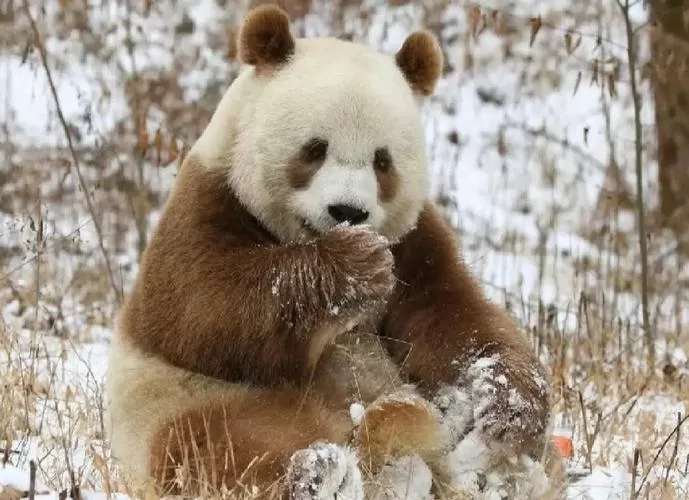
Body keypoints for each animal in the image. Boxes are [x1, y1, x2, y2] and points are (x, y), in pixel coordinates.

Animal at [105, 5, 565, 500]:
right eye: (314, 149)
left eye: (383, 161)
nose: (348, 211)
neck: (302, 237)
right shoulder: (207, 201)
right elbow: (202, 308)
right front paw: (356, 266)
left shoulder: (414, 241)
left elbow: (452, 317)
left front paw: (504, 406)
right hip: (187, 402)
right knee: (216, 444)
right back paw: (322, 472)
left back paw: (485, 469)